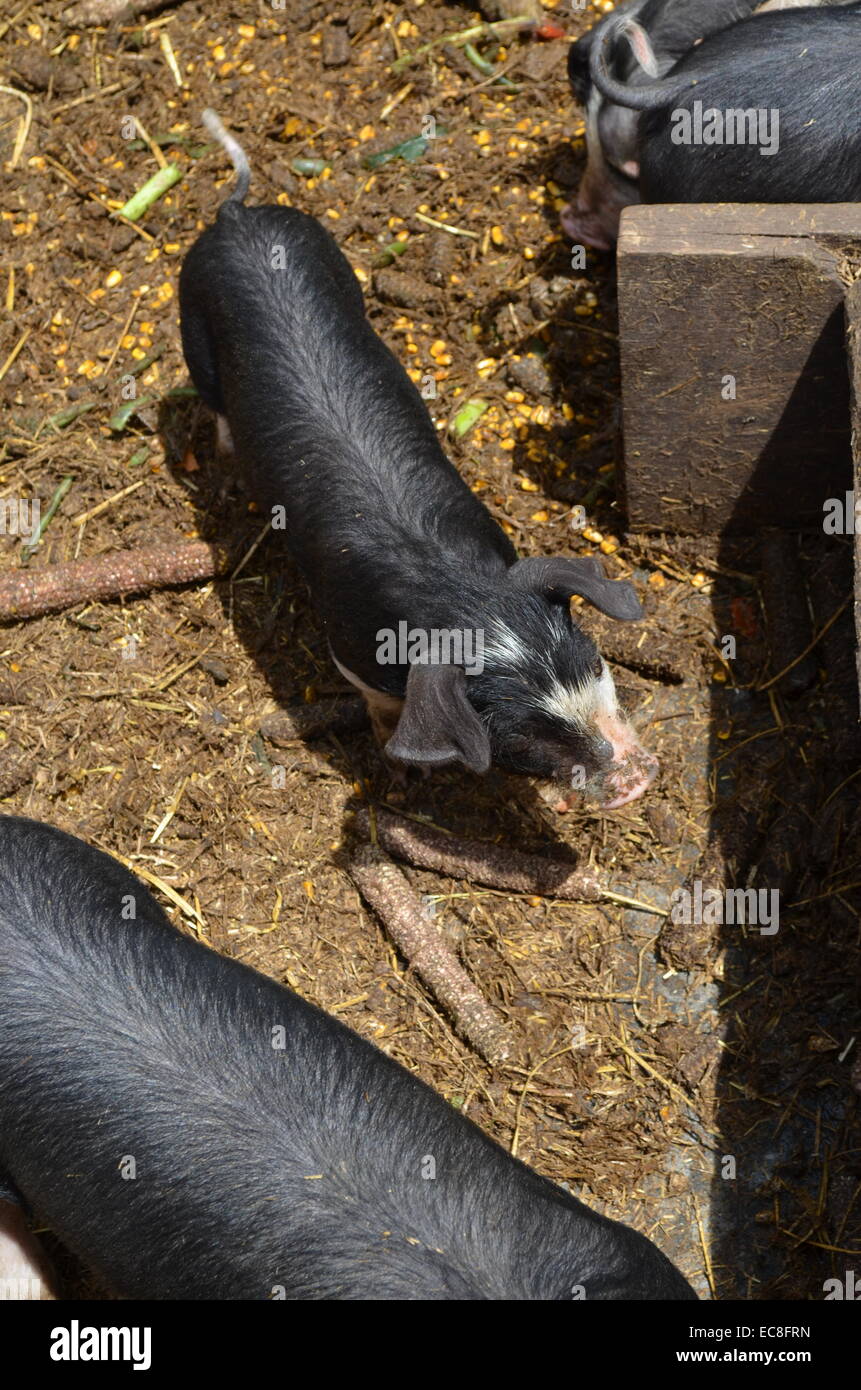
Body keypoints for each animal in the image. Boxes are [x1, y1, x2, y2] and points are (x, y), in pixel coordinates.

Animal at [179, 111, 657, 811]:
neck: (458, 596)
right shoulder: (349, 646)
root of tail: (233, 216)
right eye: (525, 736)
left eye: (595, 663)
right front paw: (401, 773)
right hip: (191, 326)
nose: (637, 778)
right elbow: (378, 703)